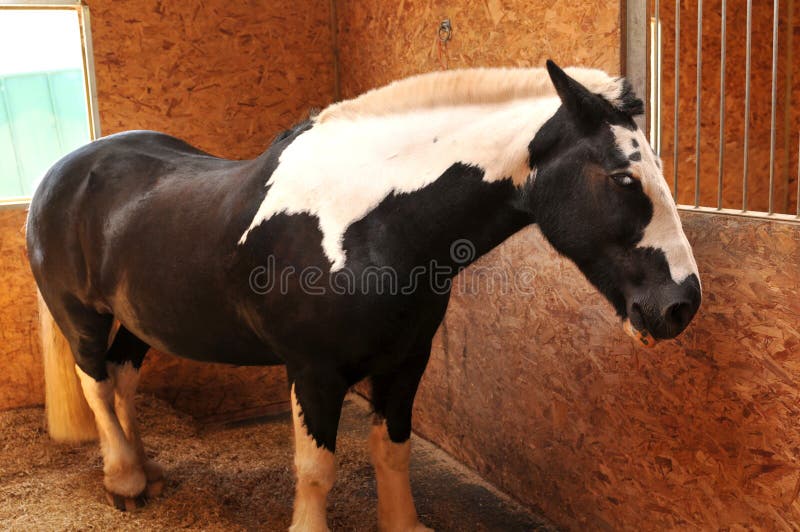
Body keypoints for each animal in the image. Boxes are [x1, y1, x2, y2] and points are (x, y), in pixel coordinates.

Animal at [26, 60, 701, 531]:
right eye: (622, 176)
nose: (681, 304)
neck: (369, 226)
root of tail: (60, 172)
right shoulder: (313, 373)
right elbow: (316, 469)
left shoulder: (404, 363)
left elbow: (392, 452)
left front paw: (403, 524)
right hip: (82, 317)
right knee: (96, 383)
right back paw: (123, 482)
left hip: (139, 321)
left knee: (122, 379)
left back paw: (146, 471)